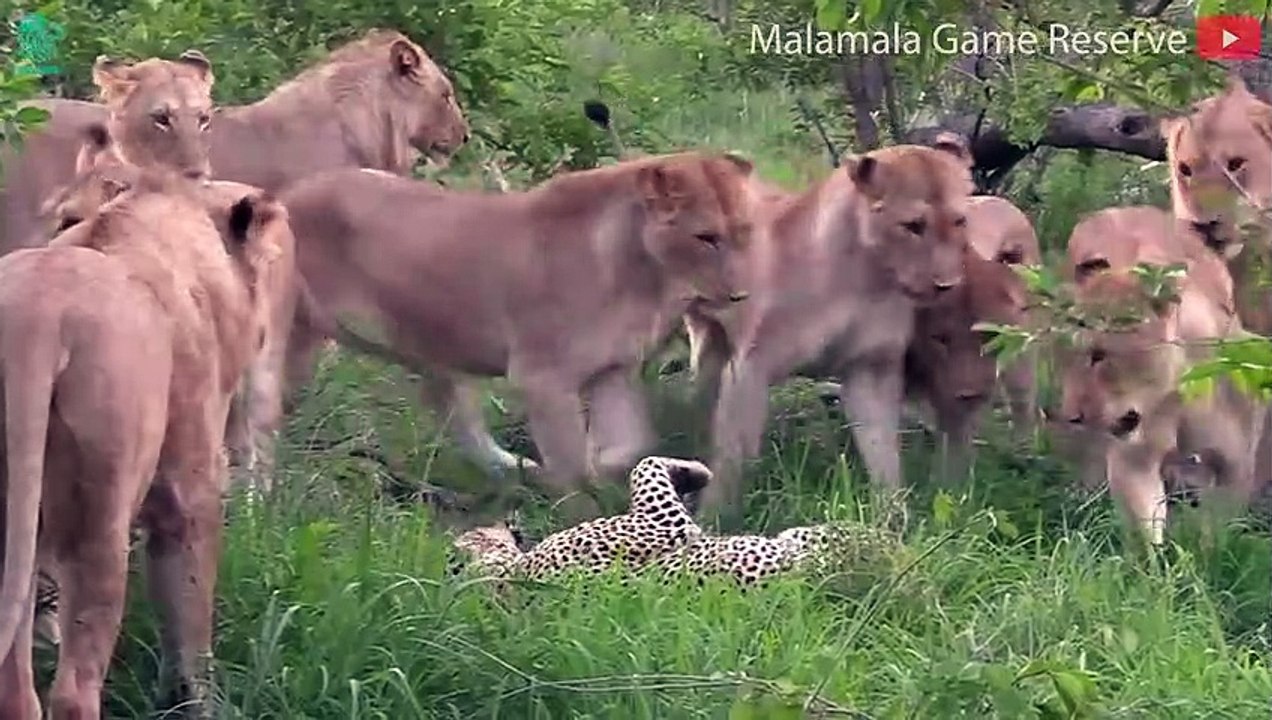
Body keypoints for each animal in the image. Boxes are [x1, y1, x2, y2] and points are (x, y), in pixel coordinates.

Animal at [0, 166, 283, 716]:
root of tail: (36, 321)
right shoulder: (190, 493)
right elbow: (188, 617)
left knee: (16, 689)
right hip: (96, 523)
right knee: (73, 690)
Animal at [276, 152, 755, 518]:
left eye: (745, 231)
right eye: (706, 237)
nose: (741, 295)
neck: (644, 275)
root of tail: (284, 194)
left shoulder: (613, 371)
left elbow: (630, 445)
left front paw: (607, 472)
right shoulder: (543, 378)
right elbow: (573, 466)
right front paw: (582, 518)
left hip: (434, 356)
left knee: (461, 424)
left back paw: (517, 470)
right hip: (297, 340)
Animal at [680, 134, 975, 524]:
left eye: (960, 221)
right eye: (913, 226)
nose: (947, 285)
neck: (866, 280)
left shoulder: (870, 369)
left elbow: (883, 449)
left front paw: (893, 518)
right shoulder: (752, 367)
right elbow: (733, 454)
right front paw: (711, 519)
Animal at [1058, 207, 1264, 544]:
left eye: (1099, 355)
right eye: (1070, 357)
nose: (1072, 417)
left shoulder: (1235, 466)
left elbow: (1217, 533)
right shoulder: (1135, 458)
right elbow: (1143, 529)